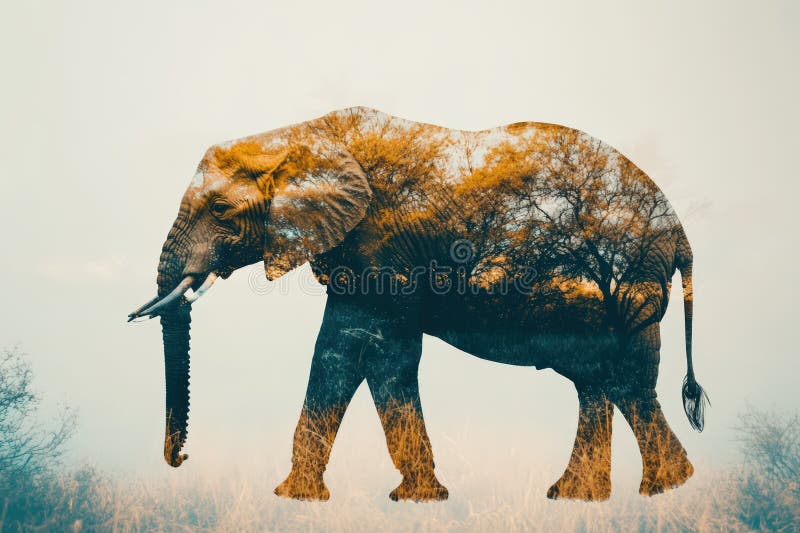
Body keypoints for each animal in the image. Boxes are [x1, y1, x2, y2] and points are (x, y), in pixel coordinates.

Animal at [129, 107, 708, 502]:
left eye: (219, 209)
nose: (181, 458)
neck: (300, 135)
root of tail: (680, 233)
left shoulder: (379, 245)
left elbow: (361, 351)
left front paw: (326, 501)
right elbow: (358, 356)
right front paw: (330, 500)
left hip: (624, 279)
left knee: (621, 380)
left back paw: (658, 492)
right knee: (603, 382)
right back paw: (590, 497)